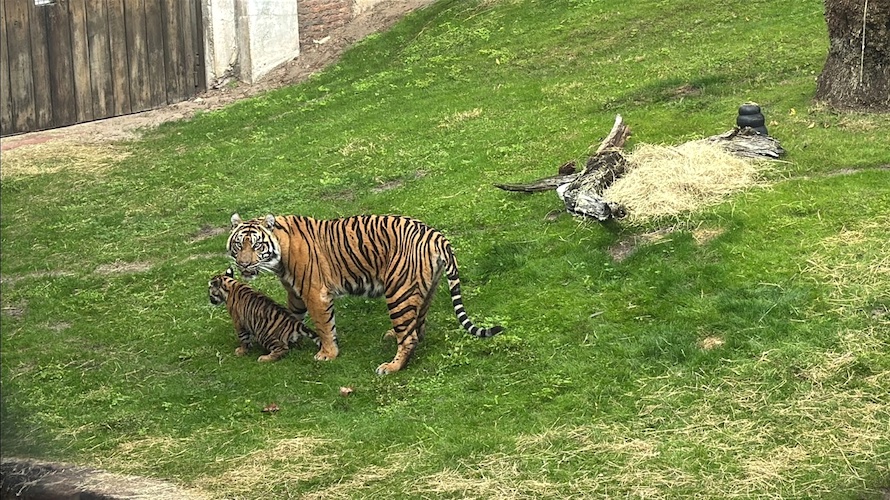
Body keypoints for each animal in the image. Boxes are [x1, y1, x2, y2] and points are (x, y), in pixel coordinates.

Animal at [227, 213, 504, 374]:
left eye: (257, 245)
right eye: (239, 245)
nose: (244, 264)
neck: (280, 254)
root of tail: (436, 236)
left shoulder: (315, 293)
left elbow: (324, 326)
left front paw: (327, 354)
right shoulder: (295, 293)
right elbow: (292, 316)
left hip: (398, 291)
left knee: (410, 337)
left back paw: (391, 367)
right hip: (426, 289)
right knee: (417, 326)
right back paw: (394, 336)